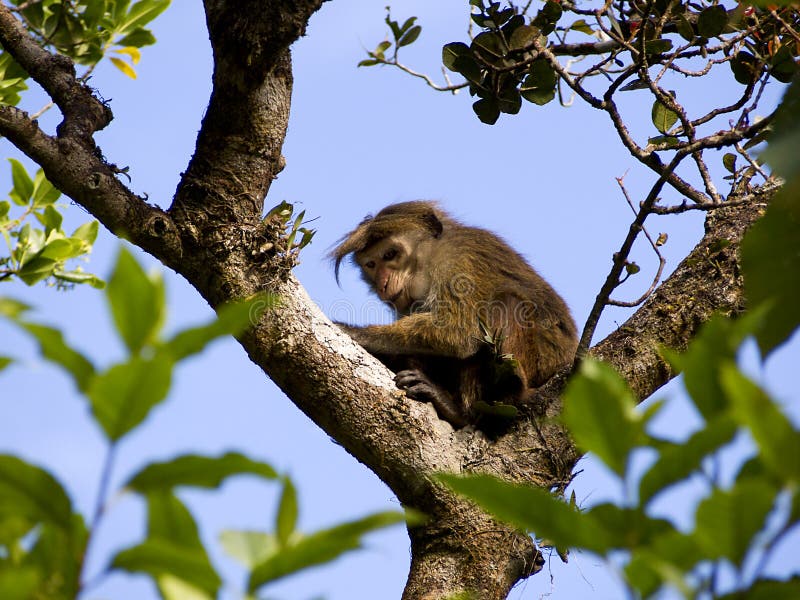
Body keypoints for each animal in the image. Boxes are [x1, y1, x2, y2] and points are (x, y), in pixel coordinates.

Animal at [331, 201, 578, 428]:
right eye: (371, 264)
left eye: (390, 254)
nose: (382, 283)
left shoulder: (457, 264)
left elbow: (461, 333)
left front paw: (359, 334)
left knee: (506, 303)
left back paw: (477, 406)